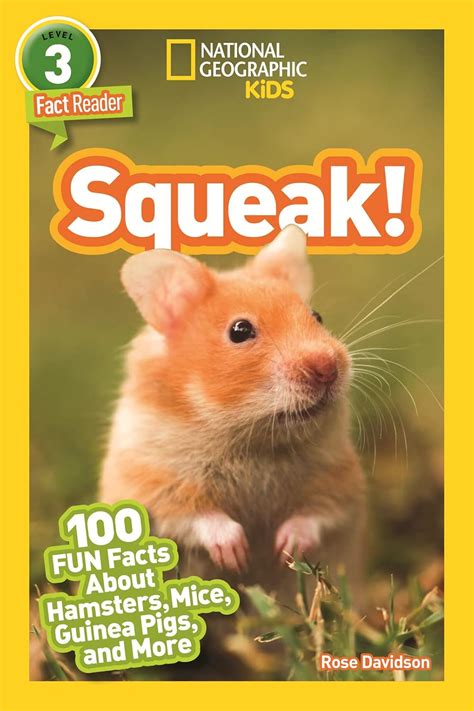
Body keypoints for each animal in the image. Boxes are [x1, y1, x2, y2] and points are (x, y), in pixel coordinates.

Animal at [100, 225, 366, 606]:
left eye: (317, 316)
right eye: (240, 331)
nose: (327, 368)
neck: (252, 439)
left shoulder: (340, 480)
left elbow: (316, 513)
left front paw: (284, 549)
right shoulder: (151, 482)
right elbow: (197, 515)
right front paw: (237, 555)